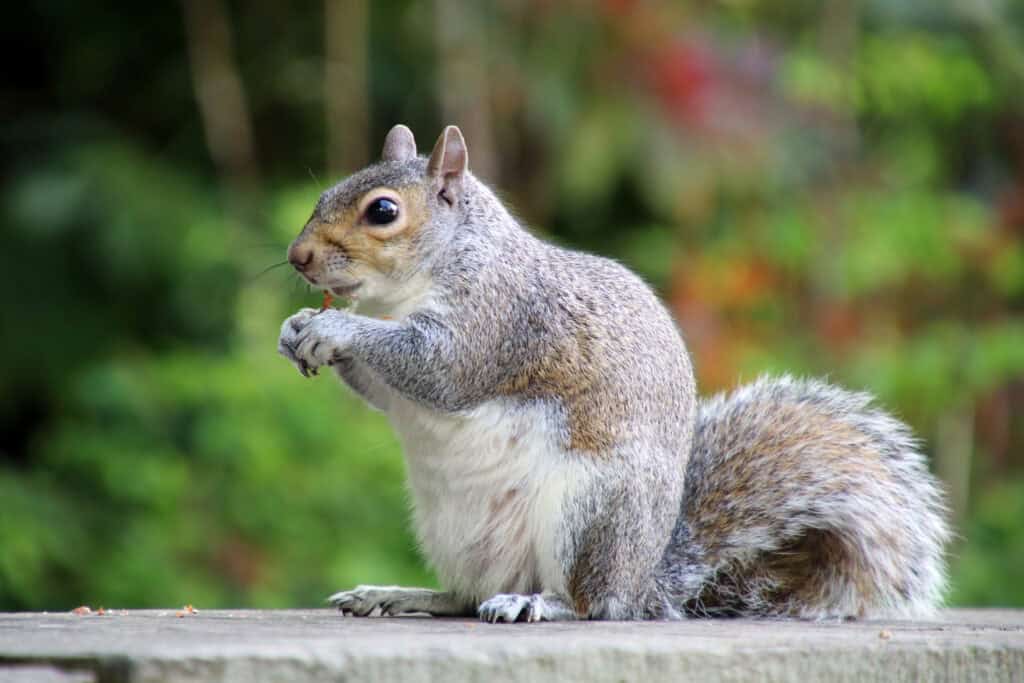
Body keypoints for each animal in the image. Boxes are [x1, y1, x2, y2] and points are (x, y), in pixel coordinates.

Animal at [277, 124, 950, 622]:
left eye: (383, 211)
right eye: (328, 190)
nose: (297, 256)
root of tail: (642, 584)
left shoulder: (500, 322)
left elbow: (439, 372)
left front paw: (337, 331)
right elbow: (386, 392)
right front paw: (297, 329)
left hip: (589, 511)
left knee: (585, 602)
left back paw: (534, 603)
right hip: (454, 532)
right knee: (466, 597)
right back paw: (401, 595)